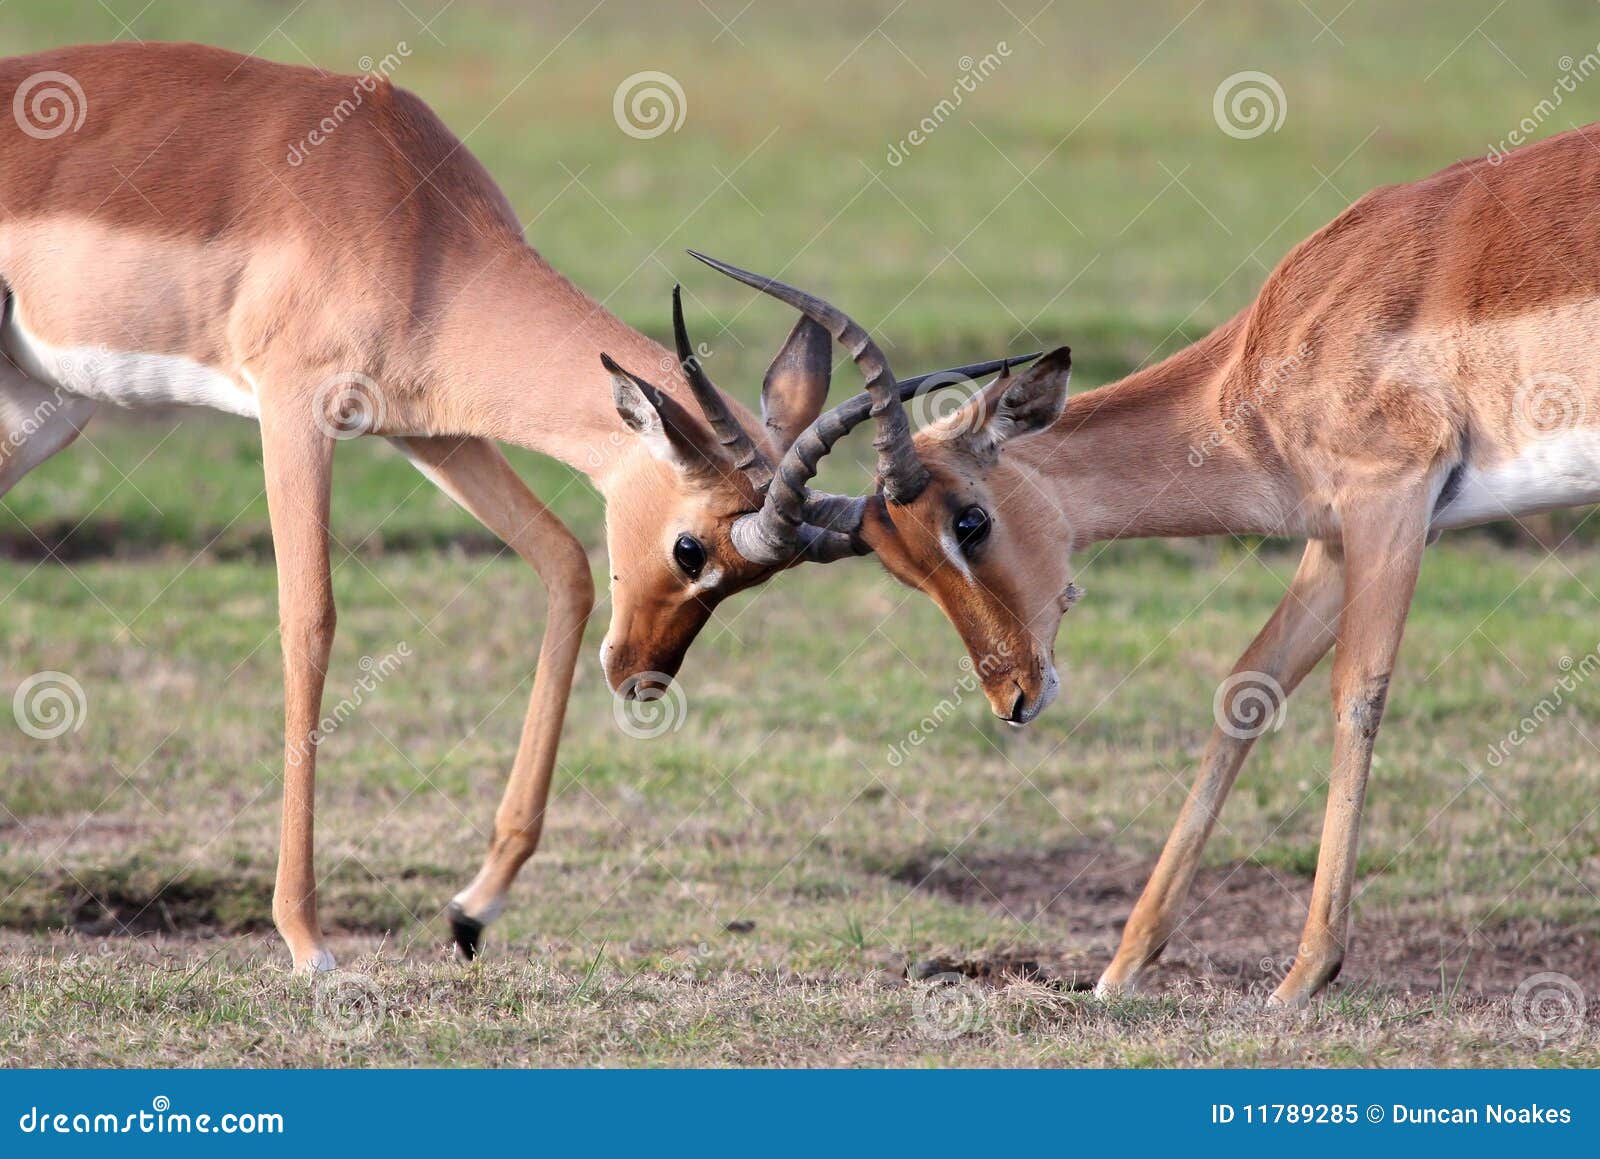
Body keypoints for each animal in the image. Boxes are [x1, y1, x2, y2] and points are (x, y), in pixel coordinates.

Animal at [0, 42, 1017, 972]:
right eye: (691, 549)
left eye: (752, 581)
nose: (641, 677)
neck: (409, 217)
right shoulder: (295, 411)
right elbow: (311, 620)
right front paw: (306, 940)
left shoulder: (428, 430)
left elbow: (565, 563)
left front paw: (472, 908)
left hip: (43, 409)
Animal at [681, 123, 1600, 1006]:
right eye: (904, 571)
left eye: (969, 522)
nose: (1014, 697)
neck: (1277, 351)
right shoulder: (1341, 533)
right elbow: (1248, 686)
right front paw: (1121, 968)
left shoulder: (1392, 499)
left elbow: (1356, 696)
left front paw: (1304, 975)